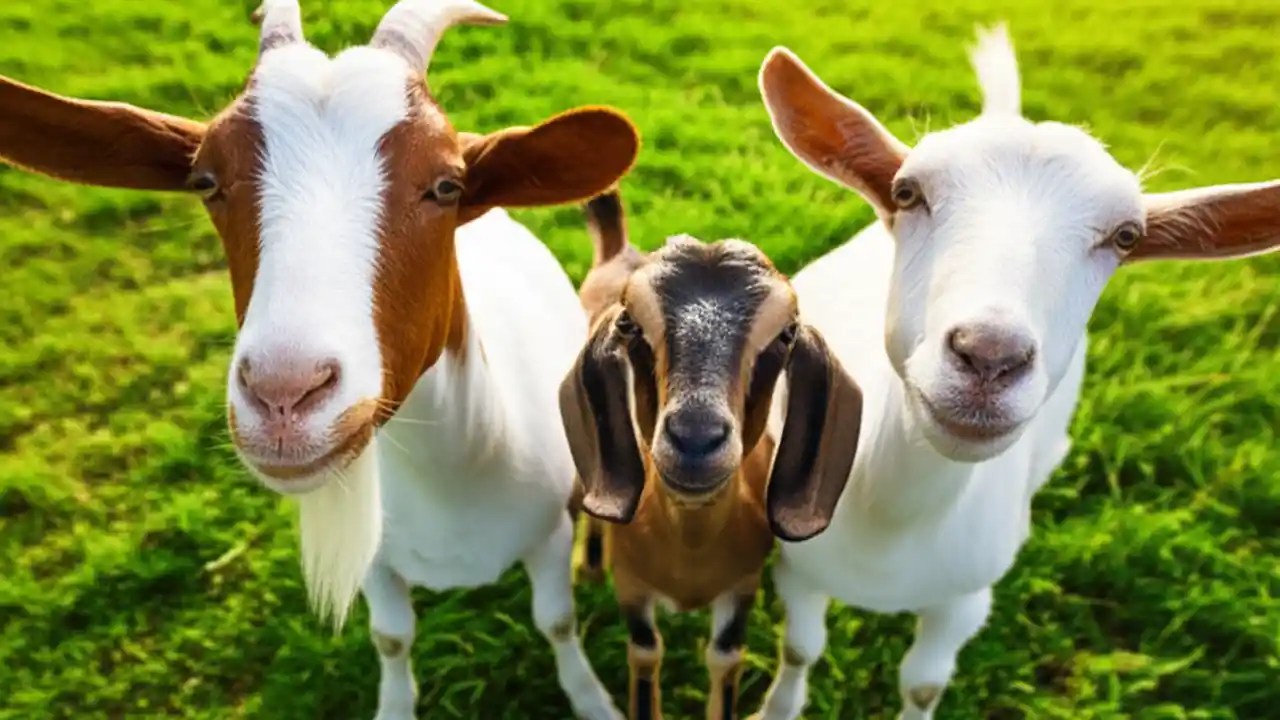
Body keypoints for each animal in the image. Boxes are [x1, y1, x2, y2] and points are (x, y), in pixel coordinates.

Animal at [0, 1, 640, 718]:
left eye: (447, 184)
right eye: (205, 180)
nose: (284, 394)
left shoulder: (549, 534)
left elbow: (556, 621)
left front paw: (592, 699)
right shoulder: (377, 564)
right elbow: (392, 638)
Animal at [563, 195, 864, 720]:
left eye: (786, 334)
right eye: (629, 324)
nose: (696, 438)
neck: (690, 551)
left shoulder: (742, 584)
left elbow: (726, 656)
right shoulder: (632, 584)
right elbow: (645, 651)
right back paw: (590, 564)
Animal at [749, 25, 1280, 720]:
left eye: (1126, 237)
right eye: (907, 193)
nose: (989, 355)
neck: (892, 521)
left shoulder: (965, 602)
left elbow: (923, 682)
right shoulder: (799, 568)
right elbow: (799, 649)